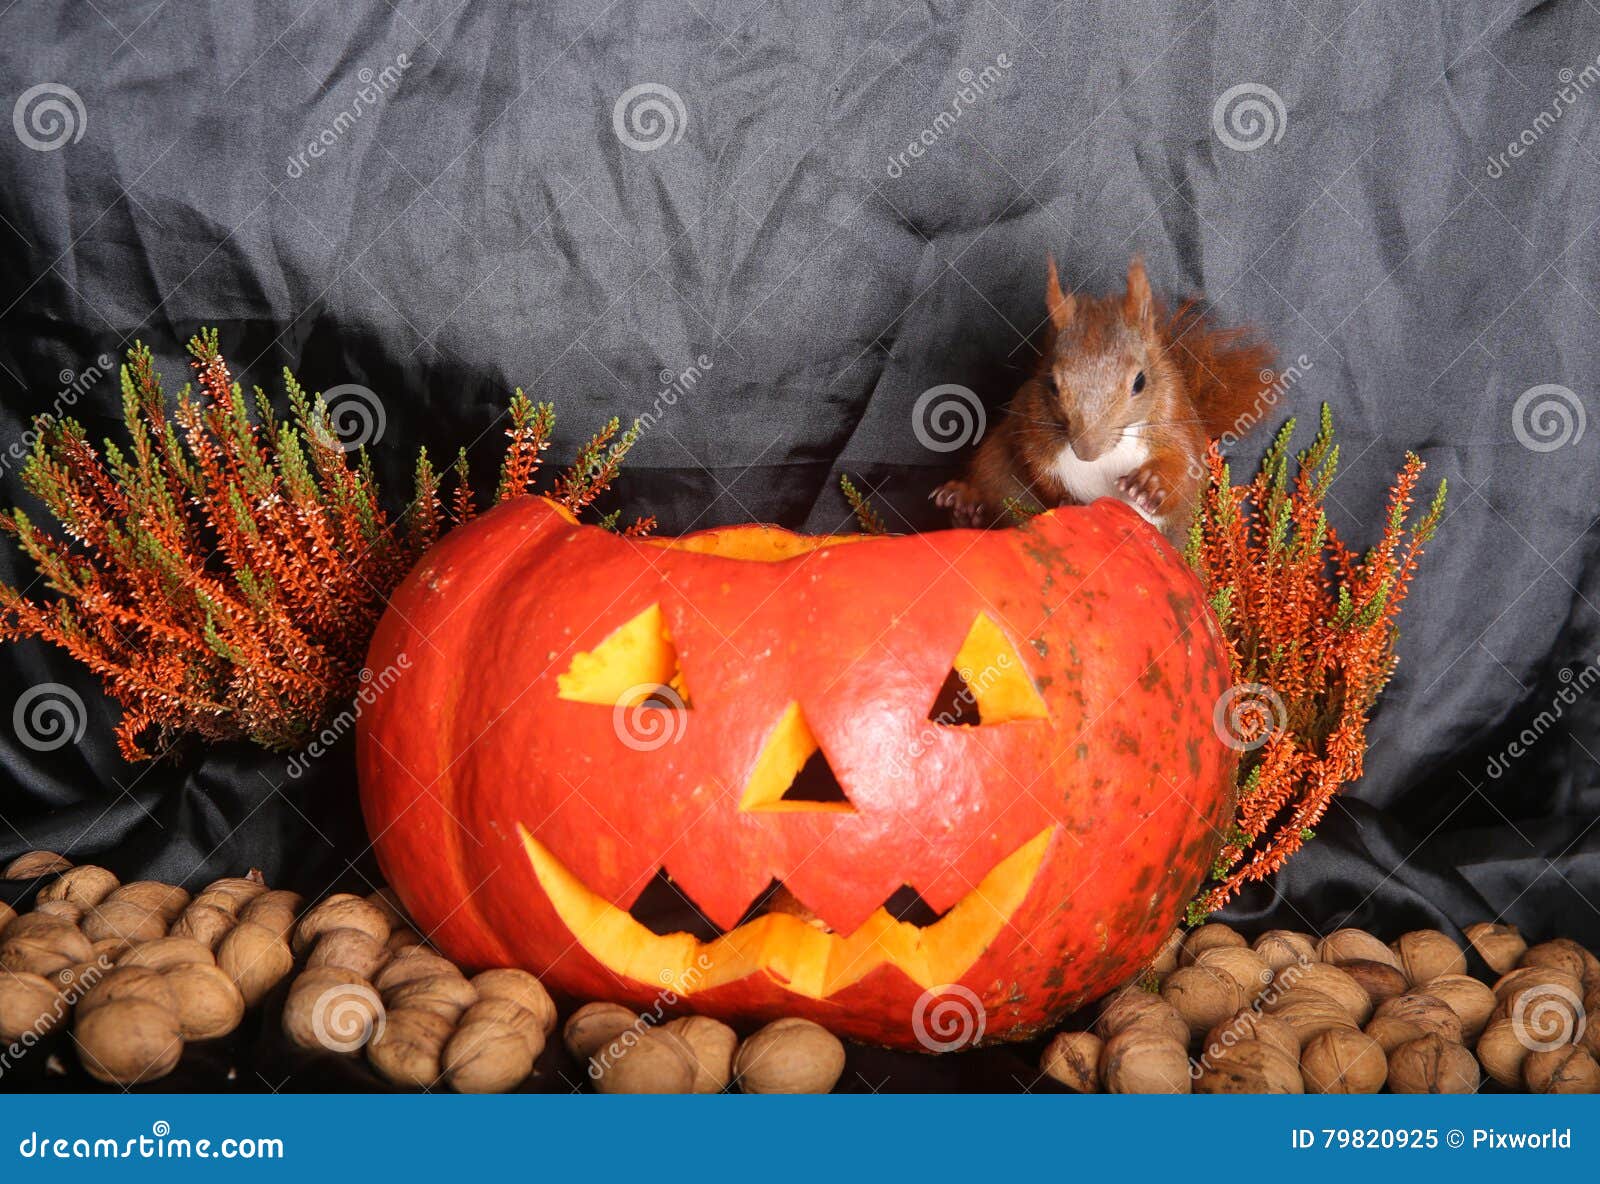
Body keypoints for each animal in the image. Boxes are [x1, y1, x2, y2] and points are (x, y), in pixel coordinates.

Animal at [932, 257, 1275, 540]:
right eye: (1052, 383)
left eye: (1140, 382)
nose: (1086, 452)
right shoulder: (1031, 418)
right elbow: (1035, 464)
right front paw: (1066, 500)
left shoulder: (1174, 415)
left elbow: (1186, 466)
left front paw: (1152, 483)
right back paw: (961, 504)